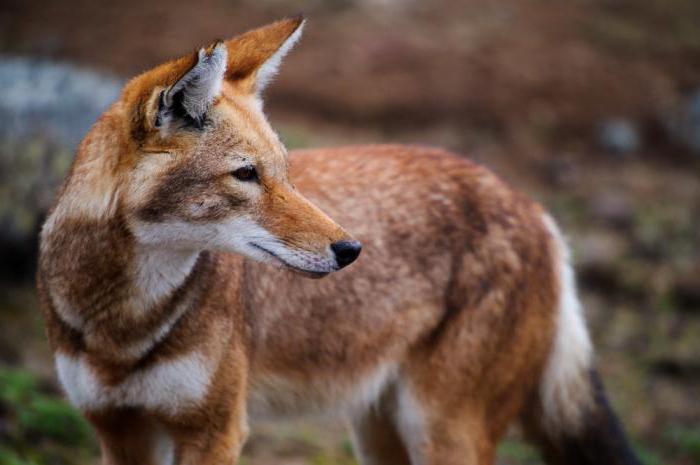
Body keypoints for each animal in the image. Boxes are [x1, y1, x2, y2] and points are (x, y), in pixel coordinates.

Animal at [37, 16, 640, 462]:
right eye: (246, 175)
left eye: (284, 172)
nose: (351, 251)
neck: (120, 323)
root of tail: (534, 208)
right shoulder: (119, 431)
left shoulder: (215, 431)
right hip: (379, 433)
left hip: (442, 433)